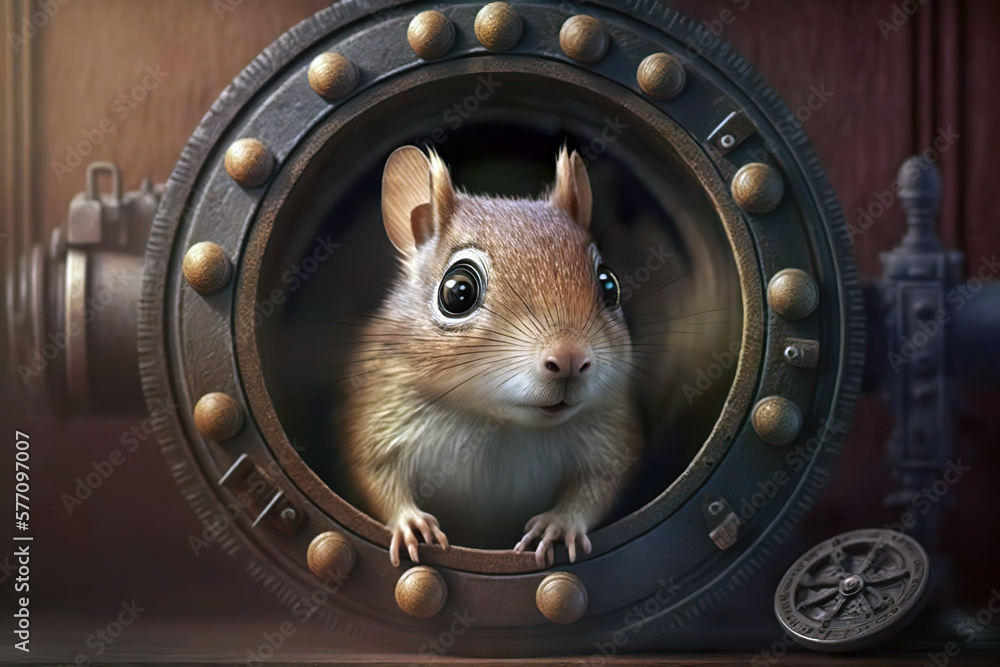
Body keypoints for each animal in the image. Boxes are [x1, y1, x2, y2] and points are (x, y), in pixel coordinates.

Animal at [341, 145, 641, 568]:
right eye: (457, 292)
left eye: (609, 284)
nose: (569, 358)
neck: (497, 423)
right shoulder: (378, 410)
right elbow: (373, 474)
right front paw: (410, 522)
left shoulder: (609, 432)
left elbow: (602, 482)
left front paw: (560, 525)